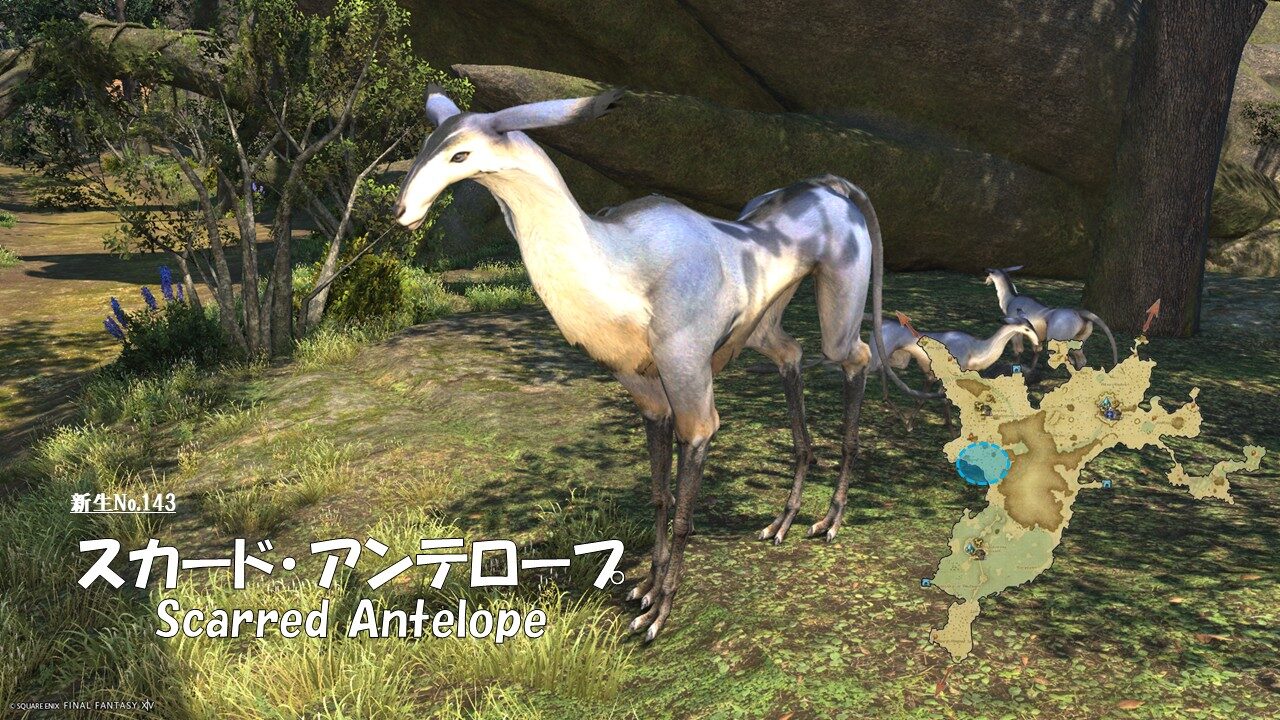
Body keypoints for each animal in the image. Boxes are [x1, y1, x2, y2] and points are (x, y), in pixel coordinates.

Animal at [394, 85, 931, 641]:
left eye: (460, 155)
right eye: (425, 146)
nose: (402, 211)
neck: (616, 262)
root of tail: (830, 187)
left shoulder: (692, 394)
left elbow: (683, 512)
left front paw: (659, 613)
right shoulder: (648, 394)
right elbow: (660, 496)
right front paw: (645, 589)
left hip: (839, 320)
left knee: (857, 357)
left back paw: (830, 520)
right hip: (762, 328)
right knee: (792, 354)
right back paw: (783, 520)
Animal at [984, 266, 1118, 371]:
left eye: (989, 273)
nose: (986, 281)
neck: (1010, 299)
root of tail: (1080, 314)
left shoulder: (1016, 330)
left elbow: (1019, 351)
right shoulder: (1036, 336)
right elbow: (1036, 350)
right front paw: (1031, 369)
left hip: (1058, 339)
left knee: (1067, 359)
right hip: (1079, 340)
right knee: (1081, 361)